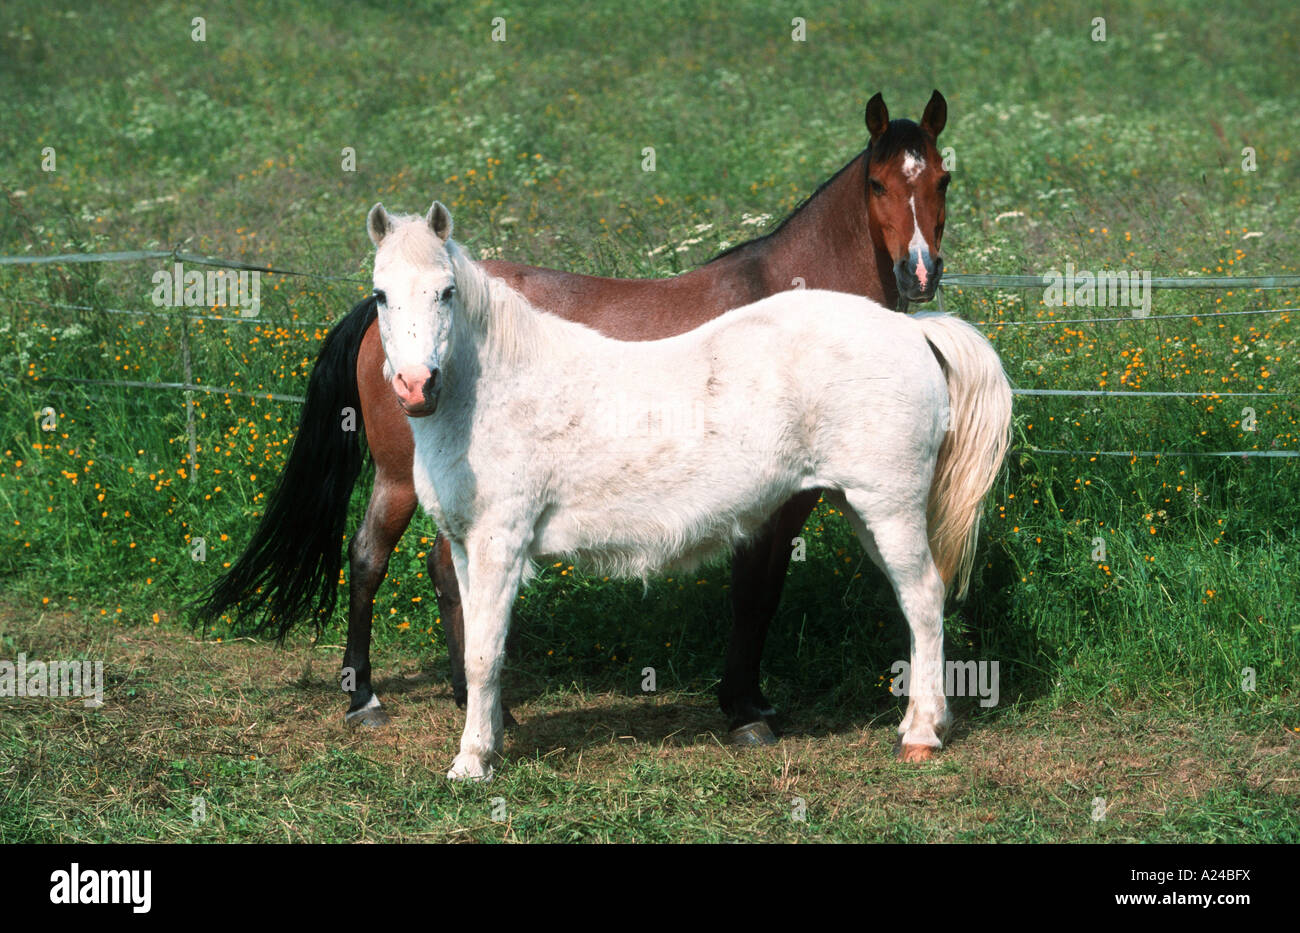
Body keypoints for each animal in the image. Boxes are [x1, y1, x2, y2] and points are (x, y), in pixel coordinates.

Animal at [194, 91, 953, 744]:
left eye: (943, 179)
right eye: (879, 184)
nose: (920, 272)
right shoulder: (779, 503)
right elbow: (755, 595)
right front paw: (743, 708)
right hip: (400, 477)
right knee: (374, 560)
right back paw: (379, 698)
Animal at [367, 200, 1010, 780]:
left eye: (447, 292)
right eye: (379, 295)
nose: (416, 386)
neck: (499, 388)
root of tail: (912, 330)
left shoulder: (499, 543)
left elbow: (483, 655)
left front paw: (472, 762)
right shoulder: (464, 545)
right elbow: (477, 641)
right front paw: (492, 741)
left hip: (889, 506)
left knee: (924, 598)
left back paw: (923, 733)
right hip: (862, 508)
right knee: (914, 599)